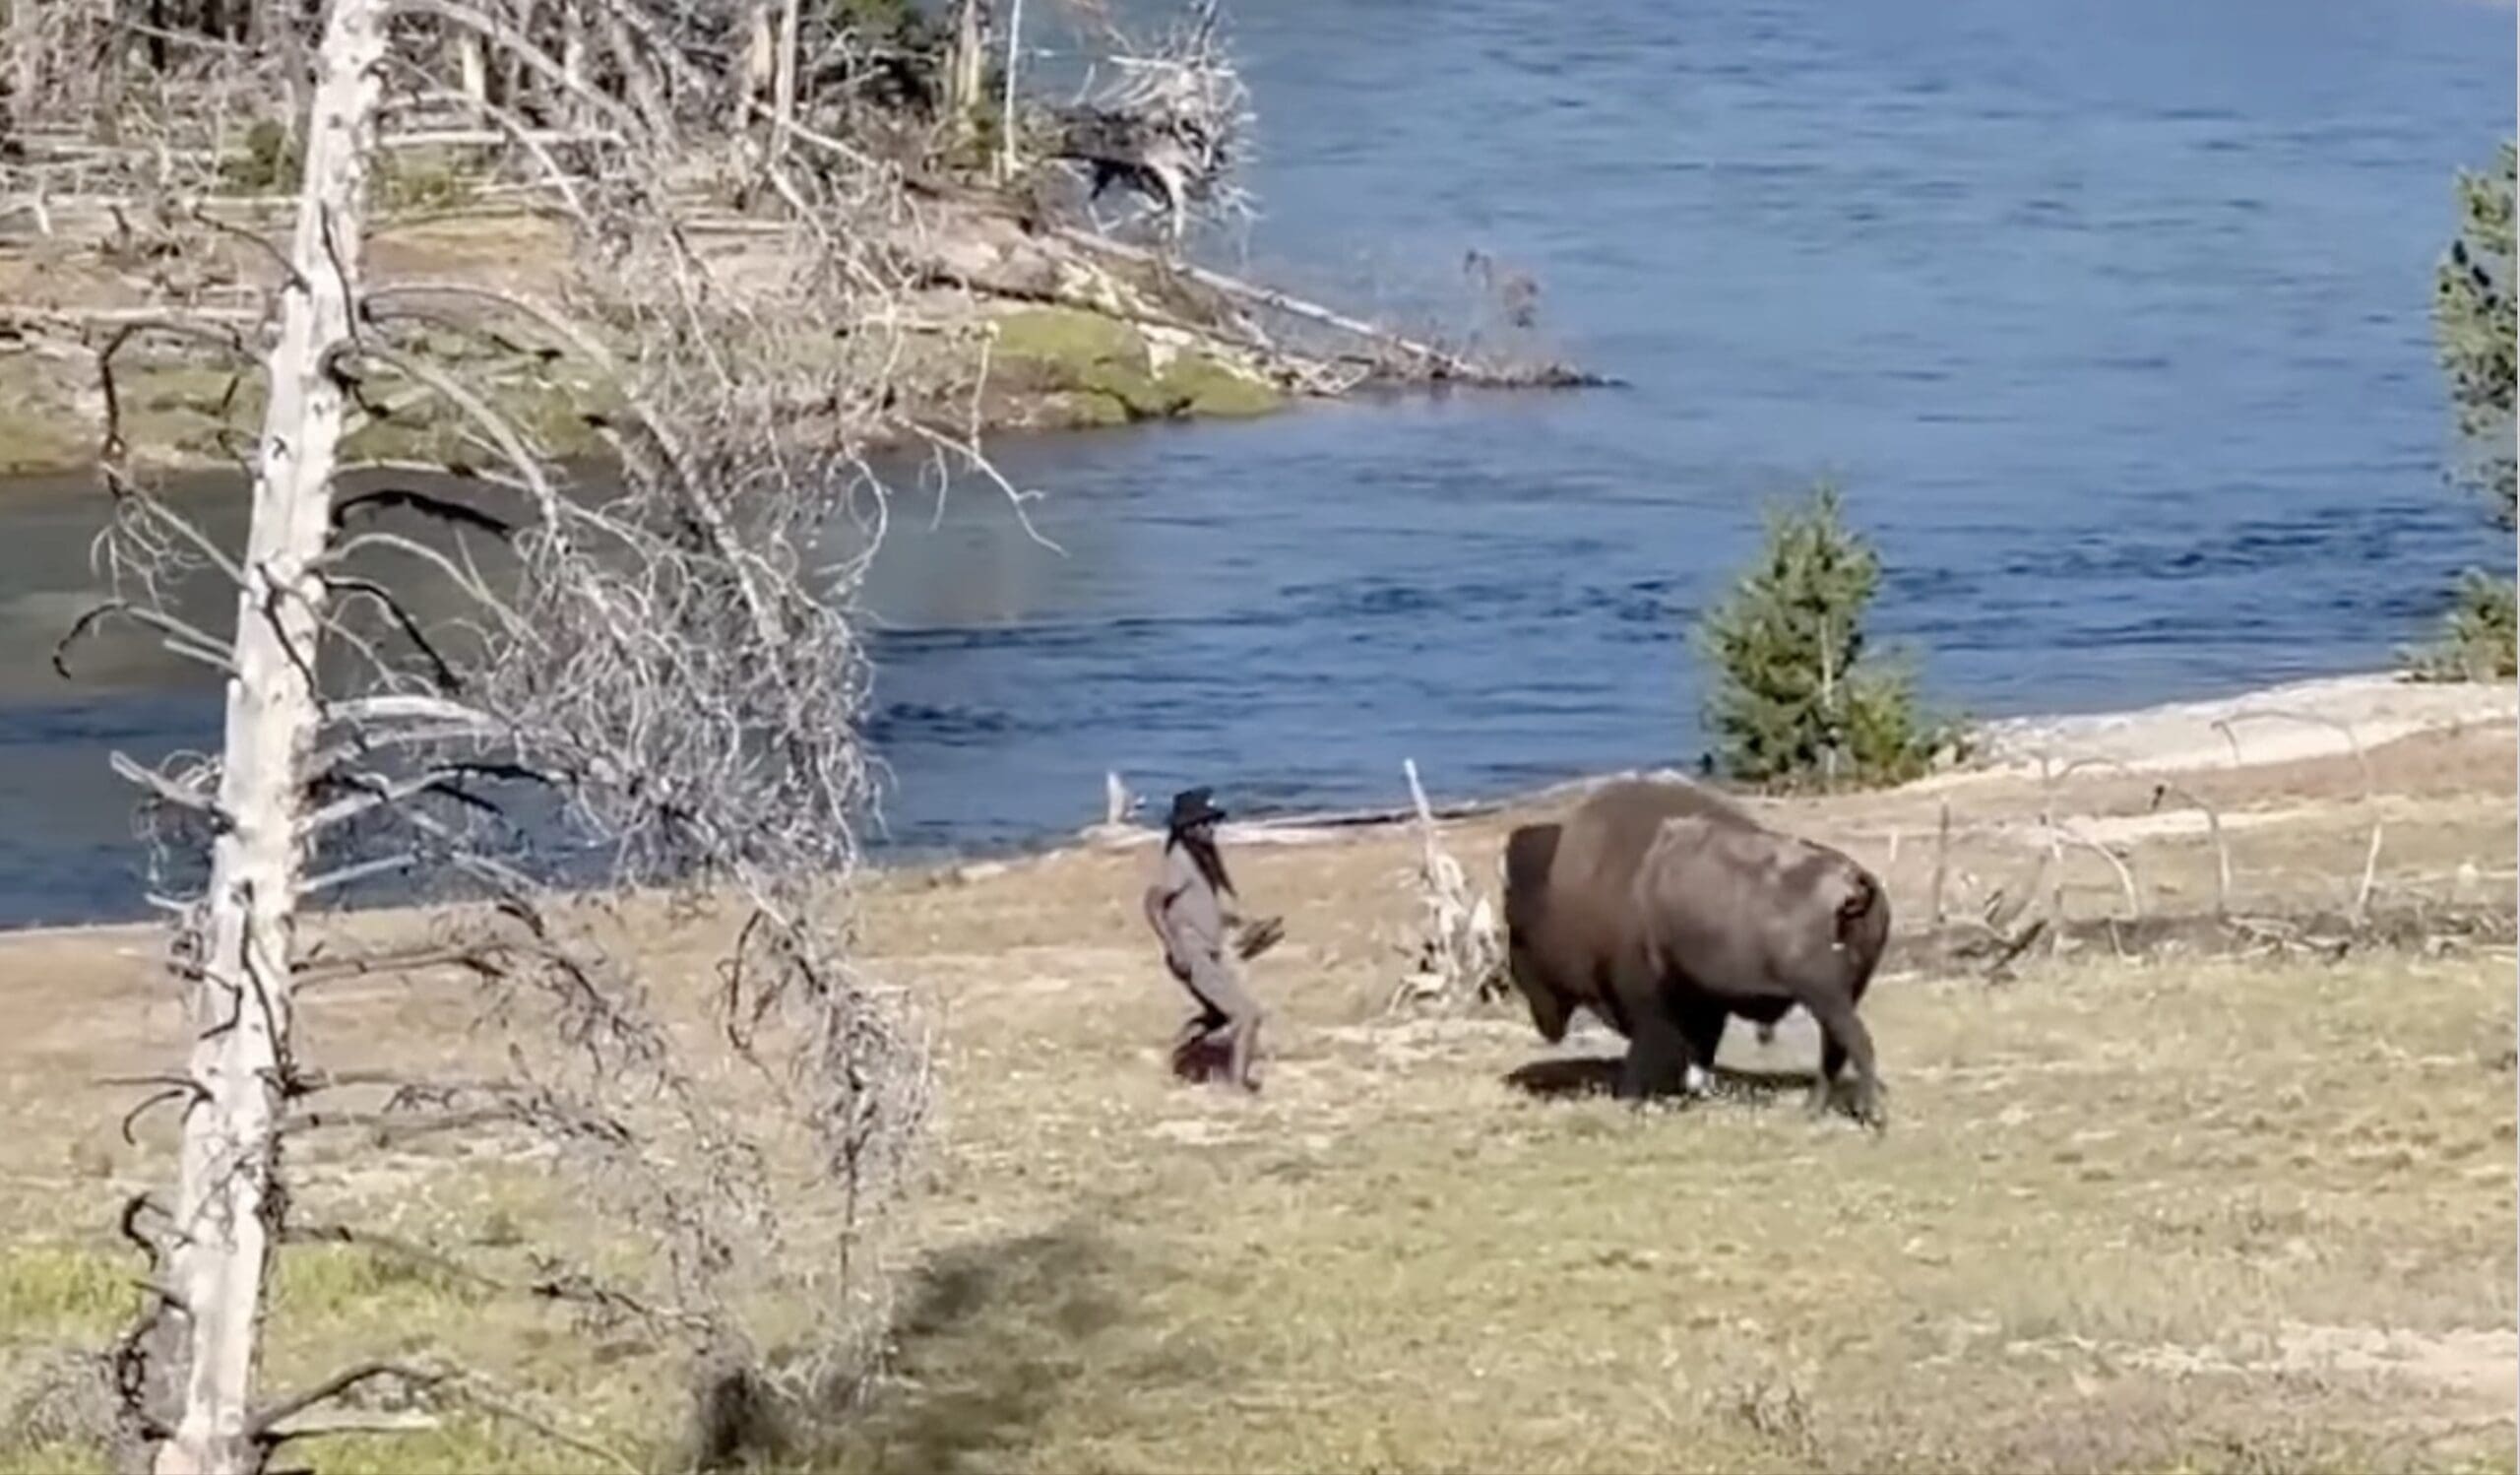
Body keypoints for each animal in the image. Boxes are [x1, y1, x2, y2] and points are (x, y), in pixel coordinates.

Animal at [1501, 777, 1893, 1129]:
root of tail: (1855, 881)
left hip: (1824, 996)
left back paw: (1871, 1114)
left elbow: (1651, 1050)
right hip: (1841, 996)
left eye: (1516, 934)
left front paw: (1631, 1096)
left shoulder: (1652, 1005)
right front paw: (1695, 1090)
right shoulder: (1704, 1002)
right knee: (1836, 1050)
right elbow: (1700, 1050)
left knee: (1856, 1044)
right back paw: (1814, 1109)